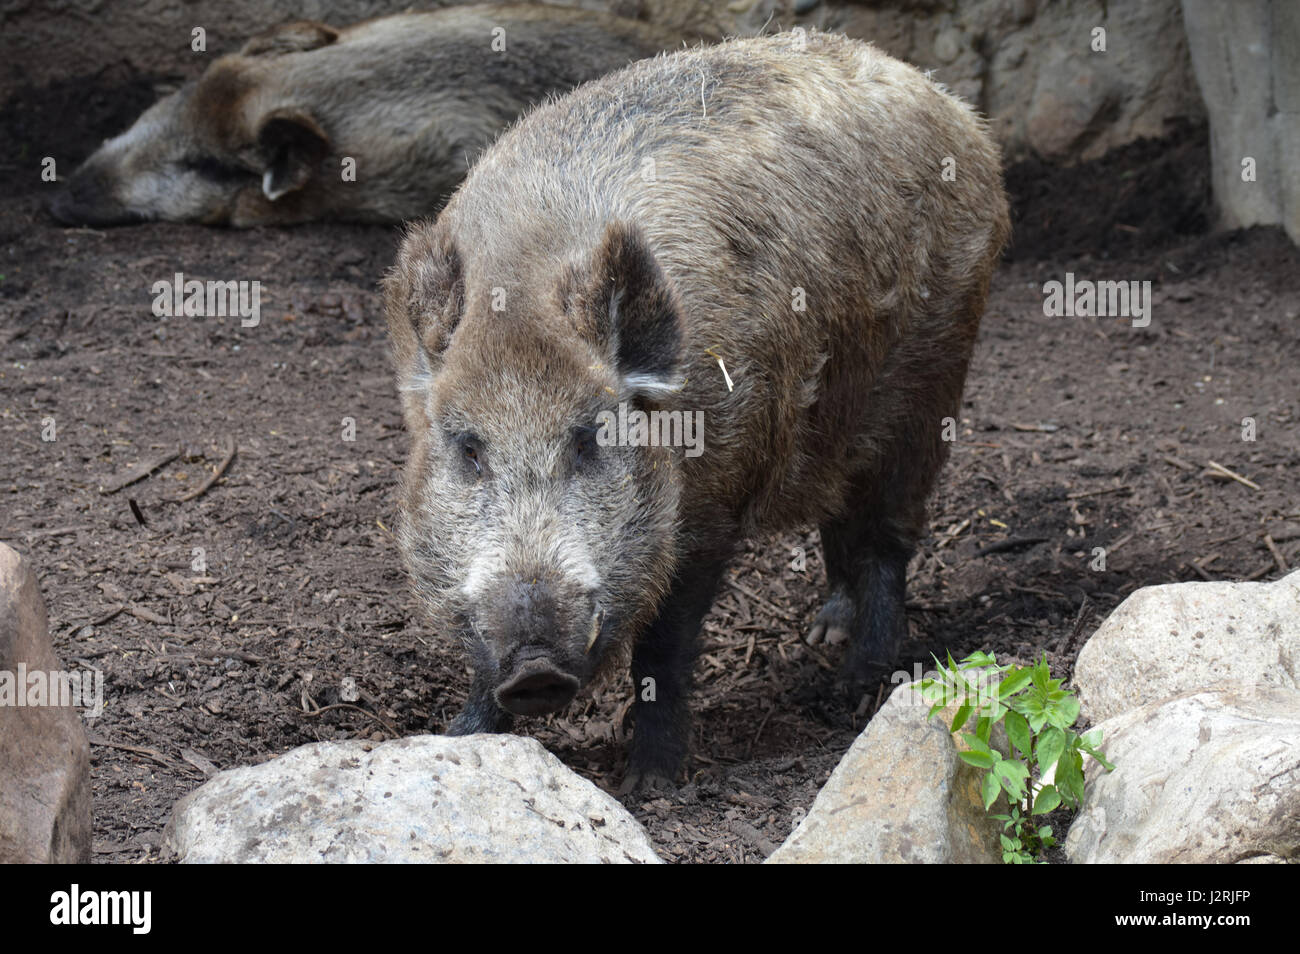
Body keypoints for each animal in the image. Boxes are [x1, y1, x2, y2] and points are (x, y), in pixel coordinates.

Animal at [385, 30, 1011, 789]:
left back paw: (854, 688)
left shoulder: (713, 503)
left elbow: (665, 648)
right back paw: (823, 631)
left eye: (590, 439)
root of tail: (954, 110)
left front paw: (649, 783)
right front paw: (453, 739)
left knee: (889, 536)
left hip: (933, 375)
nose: (535, 668)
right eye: (468, 449)